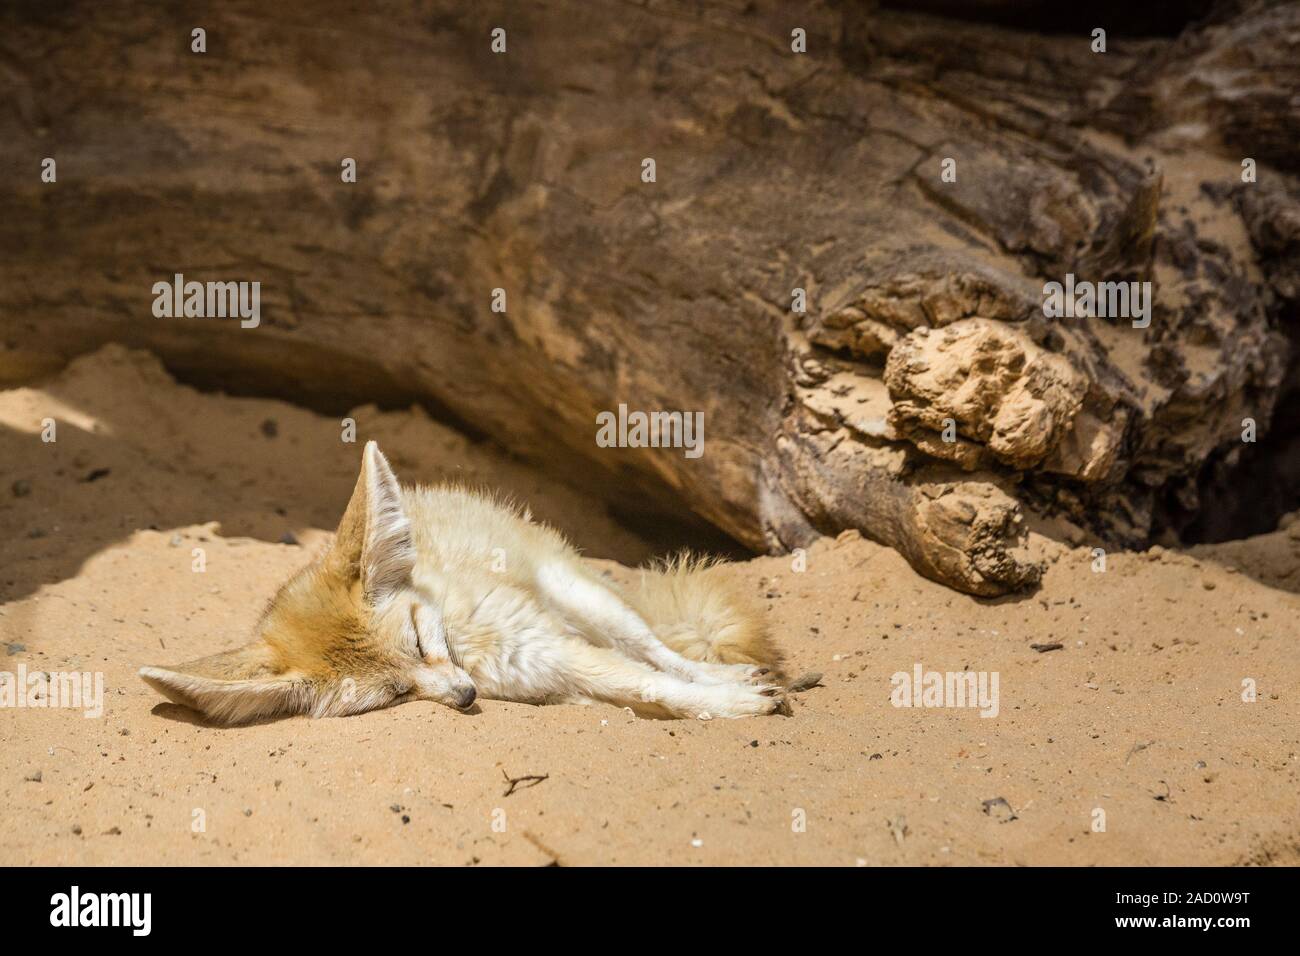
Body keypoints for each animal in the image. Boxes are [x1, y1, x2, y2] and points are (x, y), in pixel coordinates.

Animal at [140, 442, 787, 724]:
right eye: (394, 694)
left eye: (419, 642)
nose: (467, 697)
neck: (463, 644)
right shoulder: (546, 669)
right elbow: (639, 688)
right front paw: (722, 704)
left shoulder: (548, 646)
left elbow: (654, 681)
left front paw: (728, 701)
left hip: (588, 601)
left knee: (659, 649)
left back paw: (732, 675)